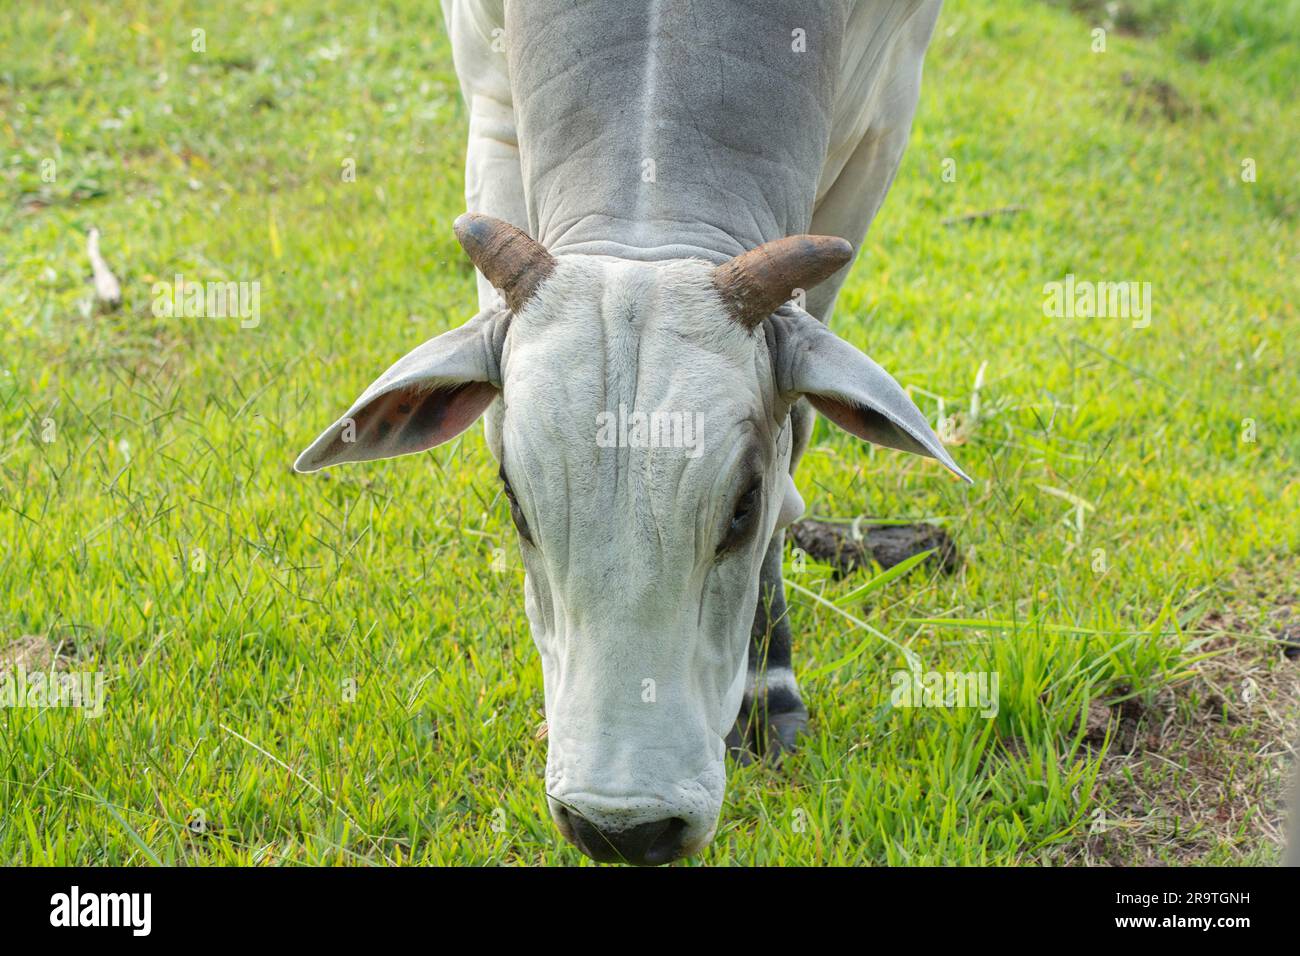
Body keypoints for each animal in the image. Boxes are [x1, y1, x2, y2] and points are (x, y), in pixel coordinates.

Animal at [295, 0, 967, 865]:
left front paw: (767, 692)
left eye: (743, 508)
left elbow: (799, 433)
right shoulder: (489, 101)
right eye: (517, 506)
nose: (622, 827)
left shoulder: (883, 119)